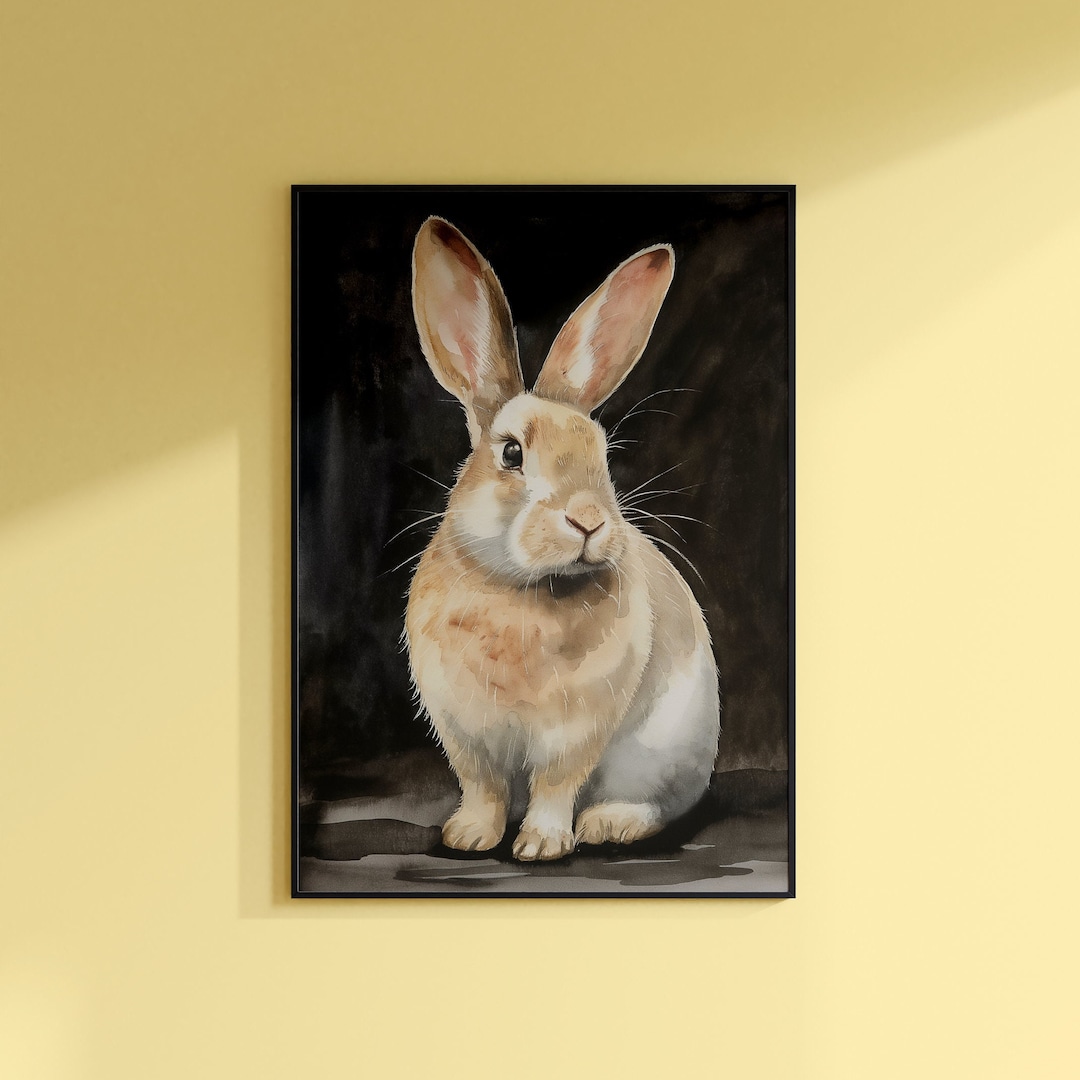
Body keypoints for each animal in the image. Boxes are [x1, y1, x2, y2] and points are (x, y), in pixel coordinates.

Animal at [405, 217, 721, 861]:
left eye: (602, 454)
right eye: (511, 453)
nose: (589, 520)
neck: (522, 589)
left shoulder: (575, 732)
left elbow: (555, 784)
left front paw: (541, 846)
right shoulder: (464, 732)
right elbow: (482, 785)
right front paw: (468, 837)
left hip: (665, 758)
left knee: (656, 805)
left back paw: (607, 825)